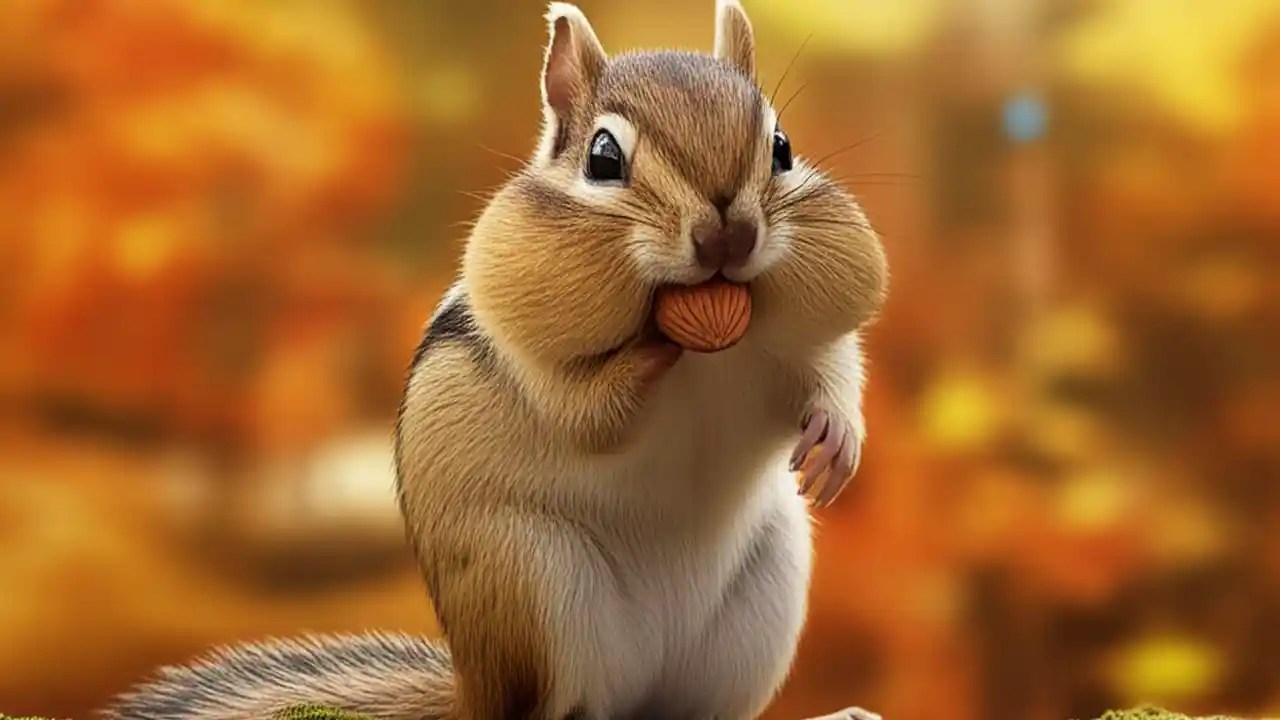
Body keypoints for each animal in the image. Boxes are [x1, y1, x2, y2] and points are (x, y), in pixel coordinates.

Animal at [103, 1, 888, 719]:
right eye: (604, 158)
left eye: (782, 146)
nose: (729, 234)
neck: (711, 346)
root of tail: (469, 687)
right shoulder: (535, 362)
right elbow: (588, 413)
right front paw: (647, 350)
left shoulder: (798, 343)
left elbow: (833, 366)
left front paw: (836, 442)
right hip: (535, 582)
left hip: (765, 593)